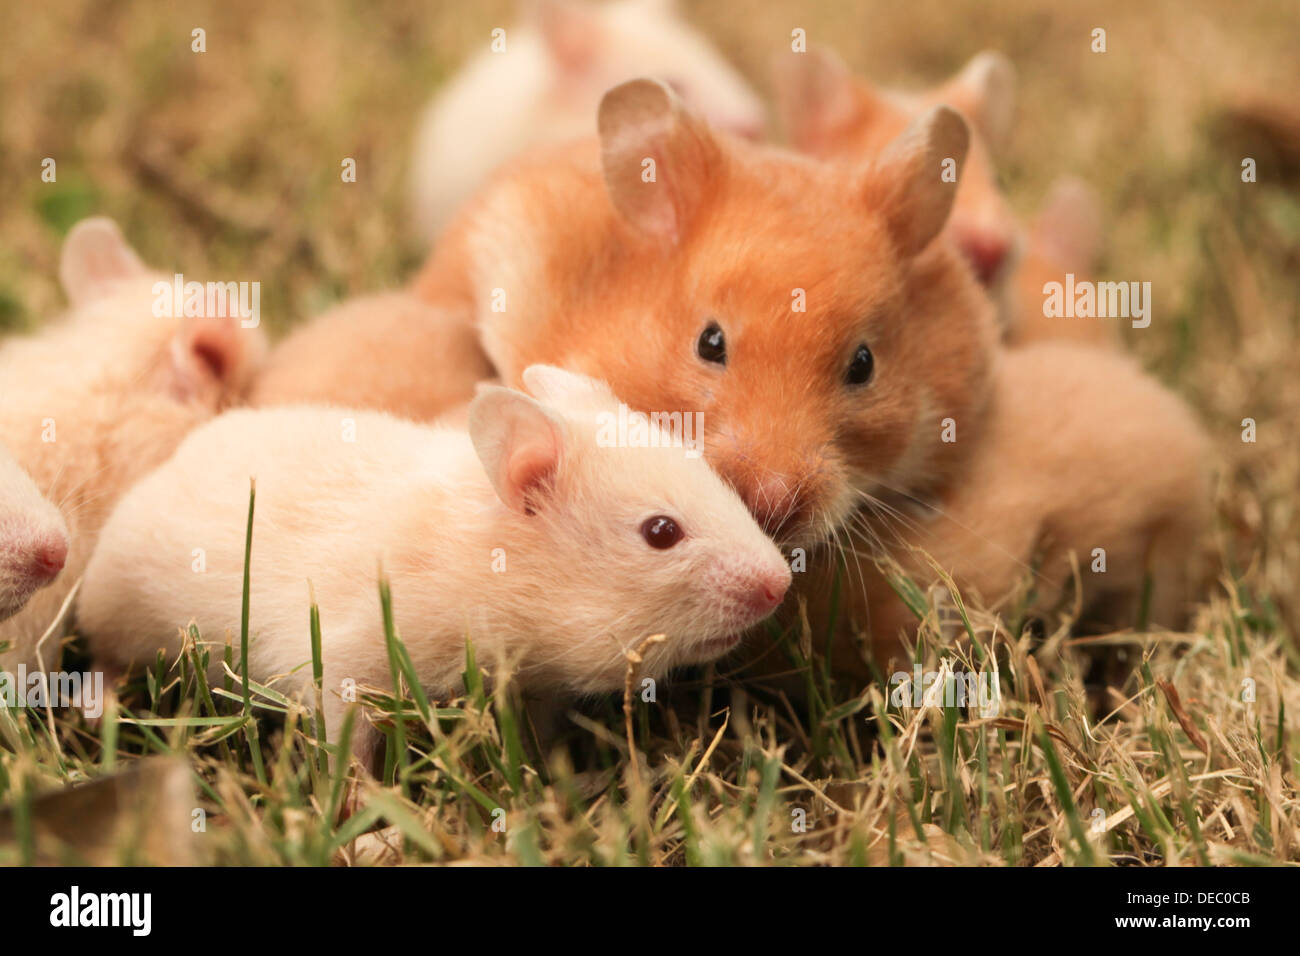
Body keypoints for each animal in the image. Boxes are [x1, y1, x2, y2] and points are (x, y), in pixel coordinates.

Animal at [76, 365, 792, 766]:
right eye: (661, 533)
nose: (782, 585)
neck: (493, 570)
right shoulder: (345, 662)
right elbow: (346, 747)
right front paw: (369, 828)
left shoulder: (534, 684)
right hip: (120, 606)